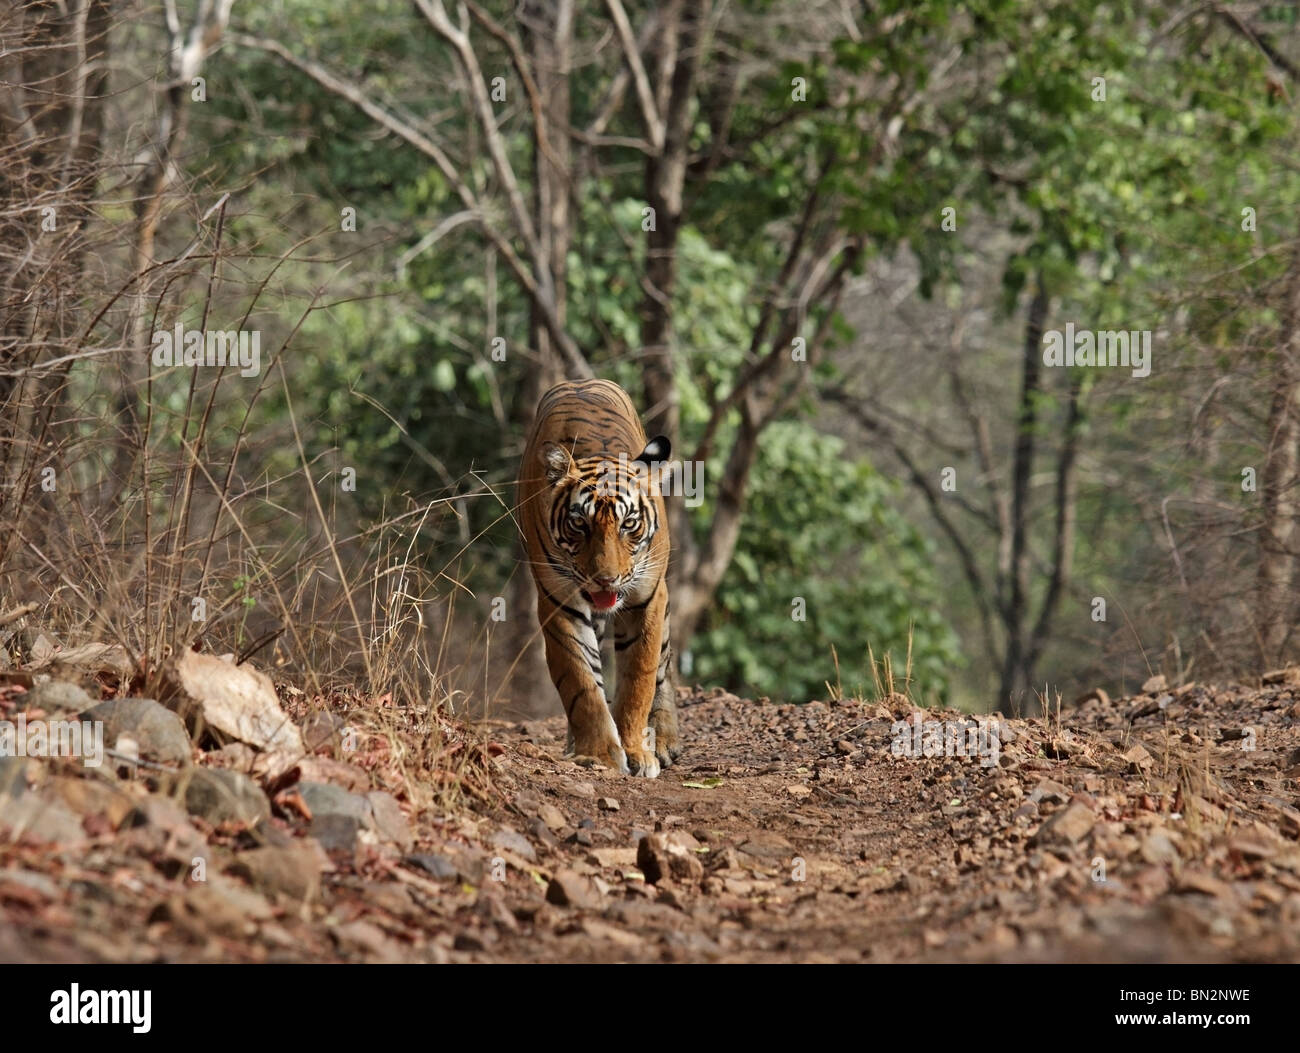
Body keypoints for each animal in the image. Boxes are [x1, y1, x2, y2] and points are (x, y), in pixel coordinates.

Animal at [517, 378, 682, 778]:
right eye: (579, 523)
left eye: (629, 524)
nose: (606, 579)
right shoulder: (558, 600)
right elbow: (581, 683)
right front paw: (599, 755)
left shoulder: (647, 599)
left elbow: (639, 678)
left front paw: (636, 751)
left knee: (664, 665)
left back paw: (663, 742)